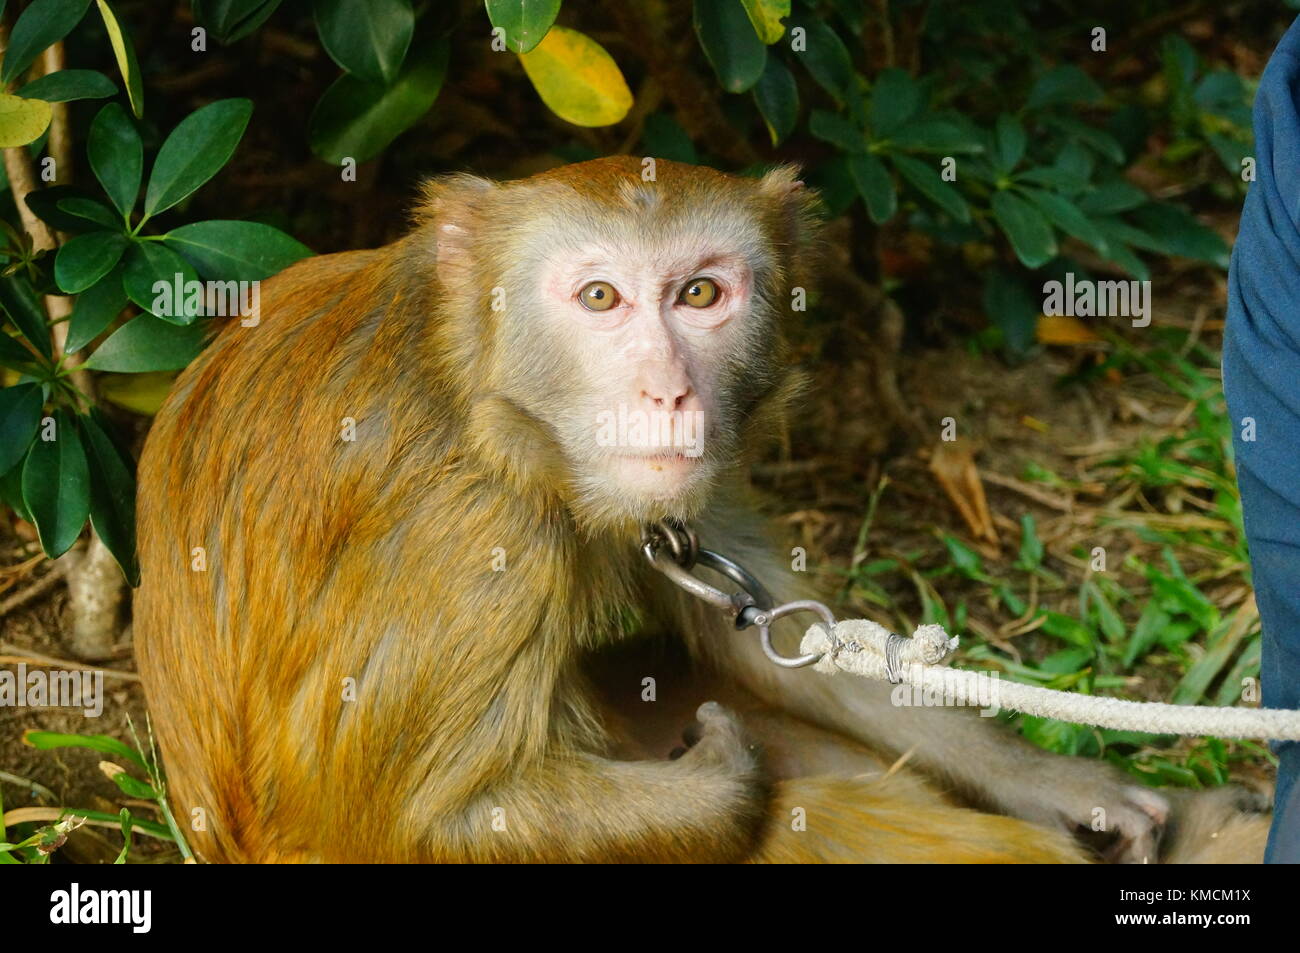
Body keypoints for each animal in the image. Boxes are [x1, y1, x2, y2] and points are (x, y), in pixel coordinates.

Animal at [133, 156, 1268, 863]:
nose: (670, 393)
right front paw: (730, 774)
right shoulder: (463, 533)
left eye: (700, 295)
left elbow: (776, 645)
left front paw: (1063, 784)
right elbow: (415, 820)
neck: (479, 393)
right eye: (600, 298)